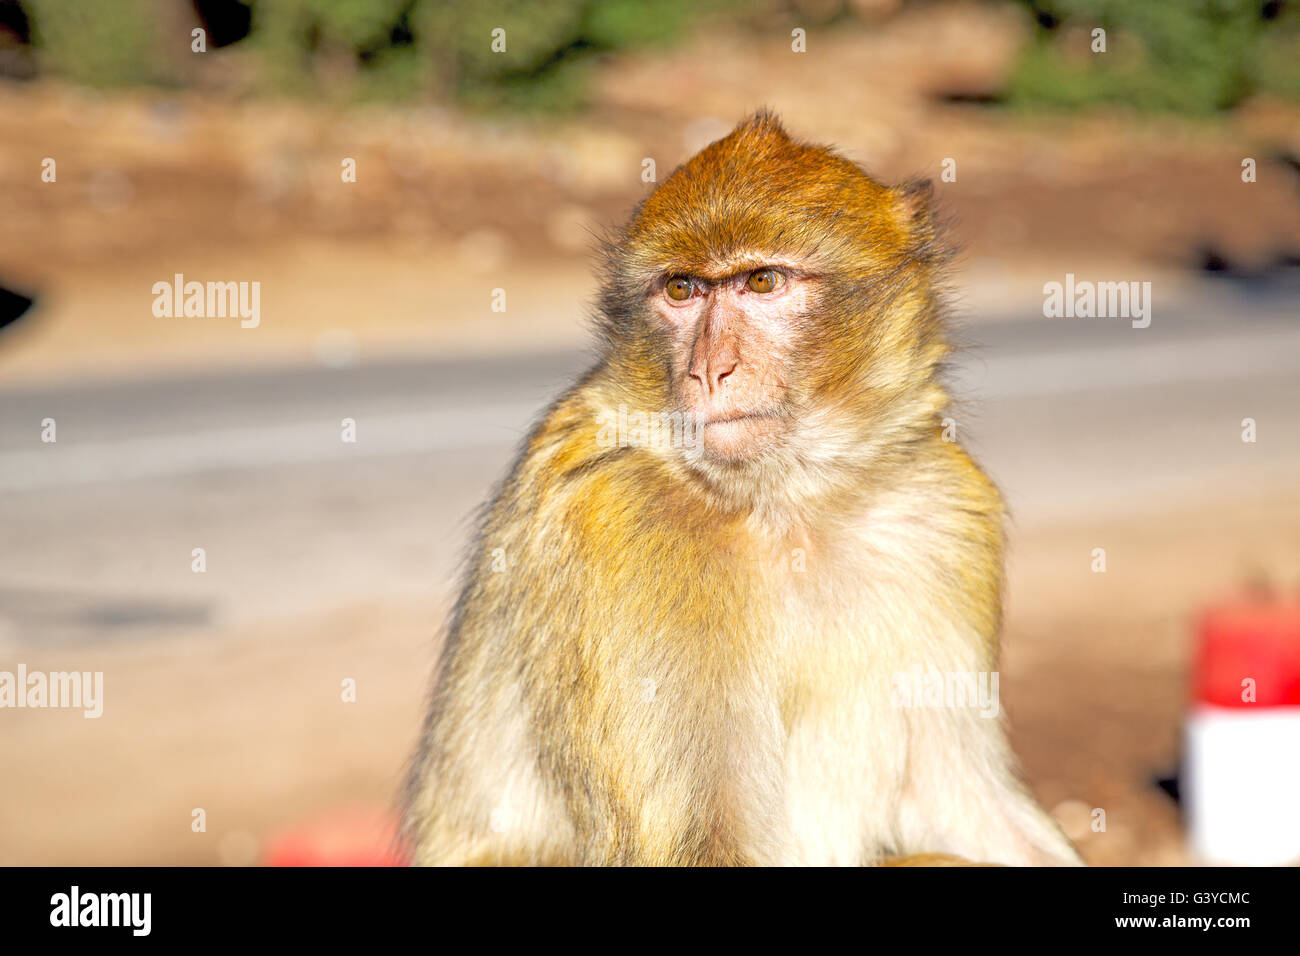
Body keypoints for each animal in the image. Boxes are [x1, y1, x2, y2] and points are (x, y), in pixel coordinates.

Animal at [403, 110, 1083, 867]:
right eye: (682, 291)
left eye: (761, 282)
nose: (710, 370)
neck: (790, 504)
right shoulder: (619, 522)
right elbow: (694, 839)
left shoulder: (946, 505)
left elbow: (963, 803)